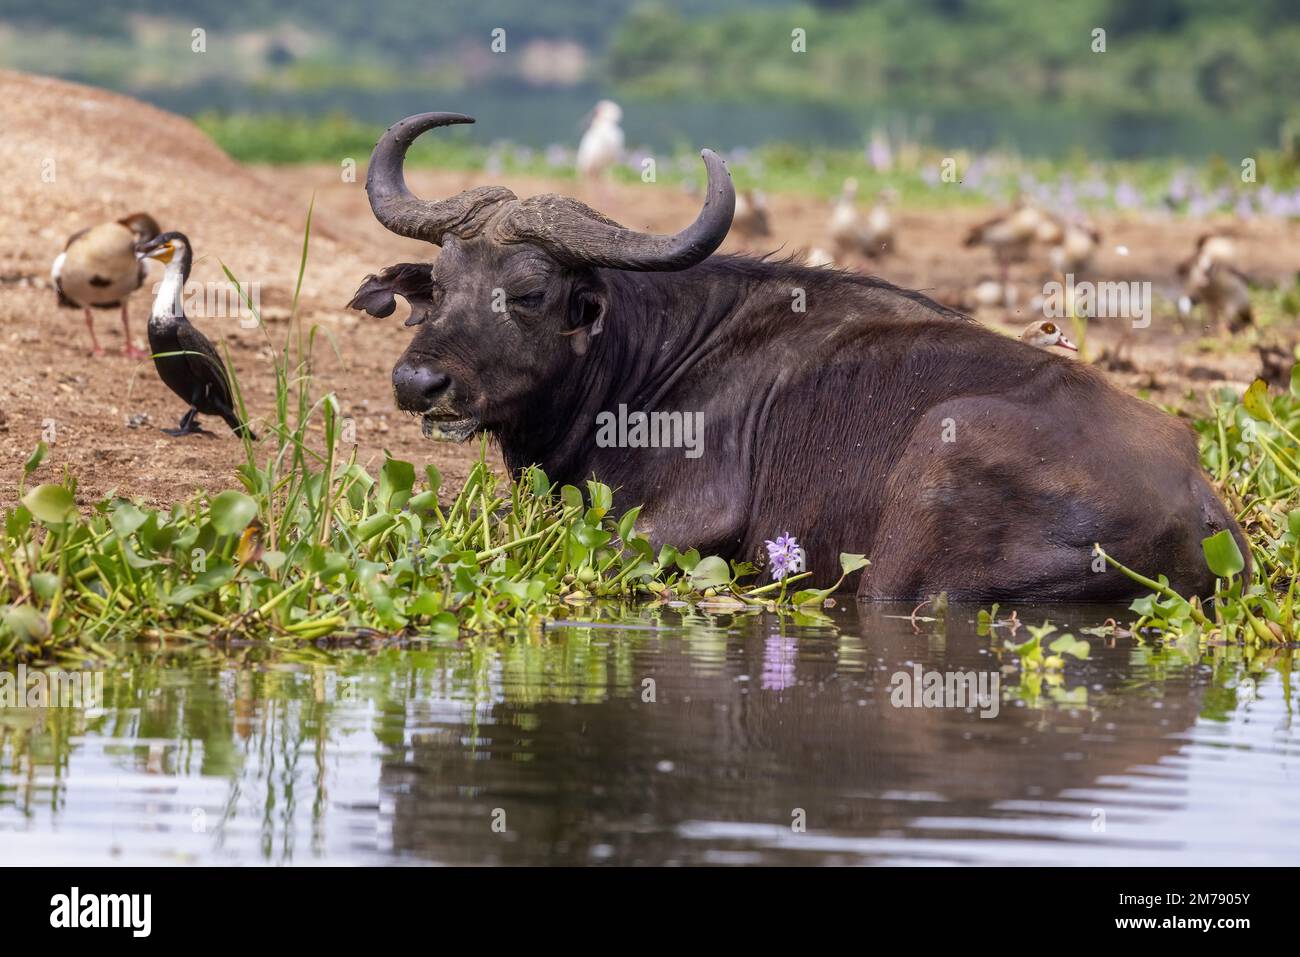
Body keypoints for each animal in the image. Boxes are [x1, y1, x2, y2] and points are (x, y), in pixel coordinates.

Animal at [350, 112, 1246, 601]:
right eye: (439, 283)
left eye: (530, 291)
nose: (419, 381)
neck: (645, 365)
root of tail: (1199, 500)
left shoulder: (672, 528)